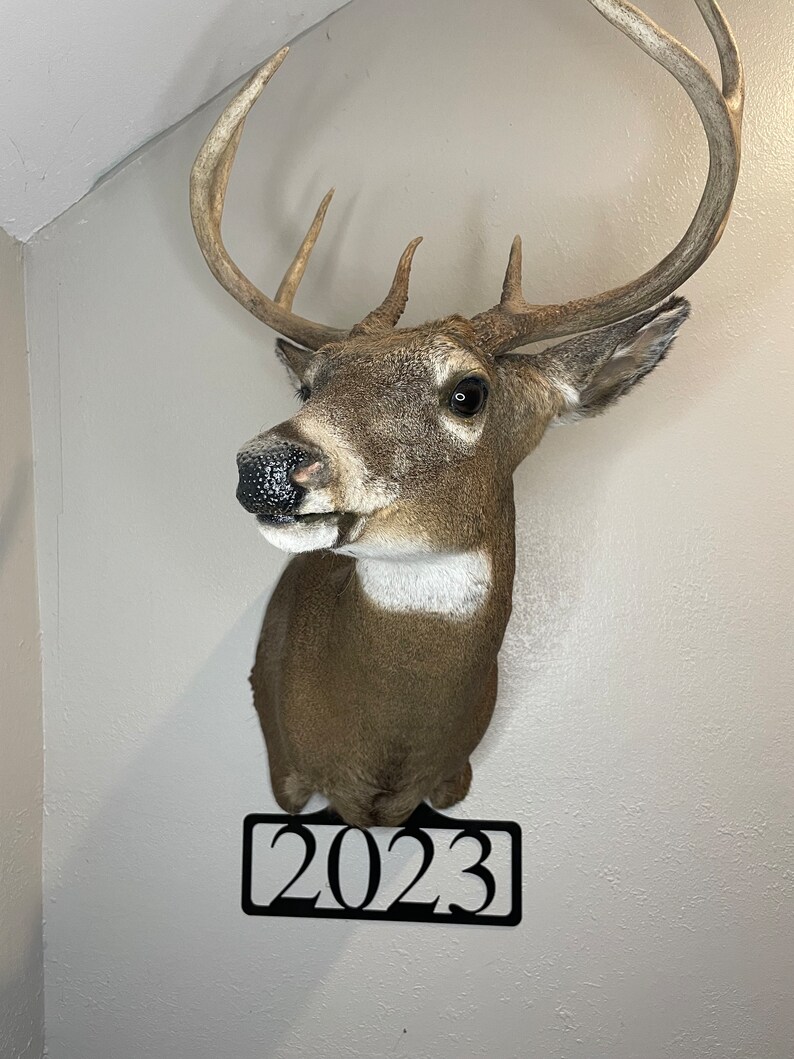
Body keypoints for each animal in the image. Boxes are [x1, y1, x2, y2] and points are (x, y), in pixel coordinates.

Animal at [190, 0, 743, 829]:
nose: (265, 468)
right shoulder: (290, 771)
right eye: (310, 387)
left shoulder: (454, 779)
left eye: (468, 391)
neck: (386, 762)